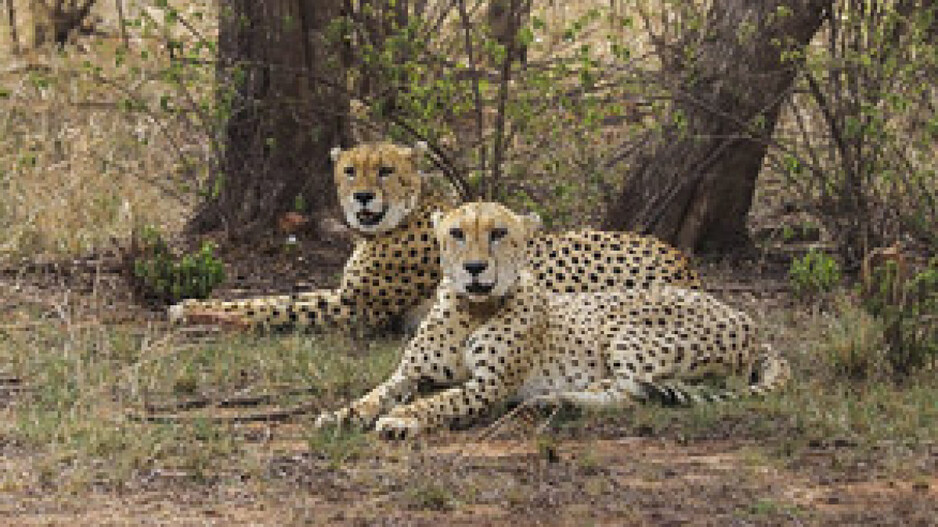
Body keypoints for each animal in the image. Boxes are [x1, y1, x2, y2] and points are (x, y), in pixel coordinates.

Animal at [169, 141, 700, 334]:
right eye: (349, 170)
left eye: (384, 170)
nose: (362, 197)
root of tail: (682, 260)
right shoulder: (347, 294)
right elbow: (275, 296)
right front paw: (195, 303)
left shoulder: (359, 309)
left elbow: (276, 306)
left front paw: (201, 312)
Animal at [314, 202, 790, 439]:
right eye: (456, 233)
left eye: (499, 233)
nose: (474, 269)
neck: (471, 308)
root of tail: (746, 318)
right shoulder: (410, 373)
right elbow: (375, 394)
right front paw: (342, 414)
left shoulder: (490, 386)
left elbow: (439, 401)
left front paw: (403, 419)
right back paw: (555, 400)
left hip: (623, 327)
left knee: (633, 391)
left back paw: (560, 398)